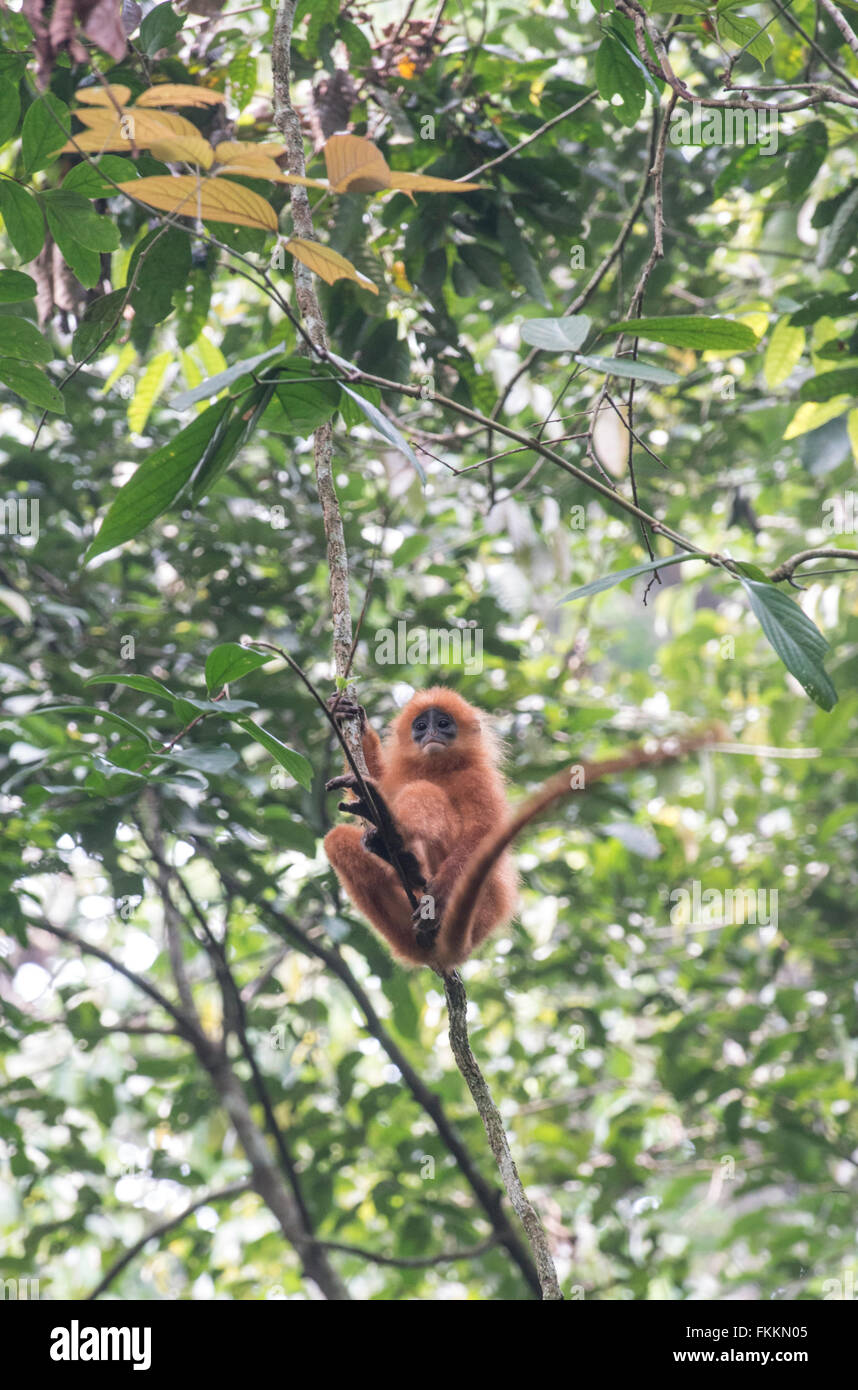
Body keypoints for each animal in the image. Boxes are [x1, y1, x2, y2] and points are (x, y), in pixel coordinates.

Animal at [323, 688, 723, 974]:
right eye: (421, 726)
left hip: (481, 903)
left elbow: (482, 833)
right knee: (337, 841)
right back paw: (394, 855)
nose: (432, 733)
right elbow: (369, 786)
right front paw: (351, 717)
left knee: (427, 797)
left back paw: (398, 845)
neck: (438, 767)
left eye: (444, 724)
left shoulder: (478, 780)